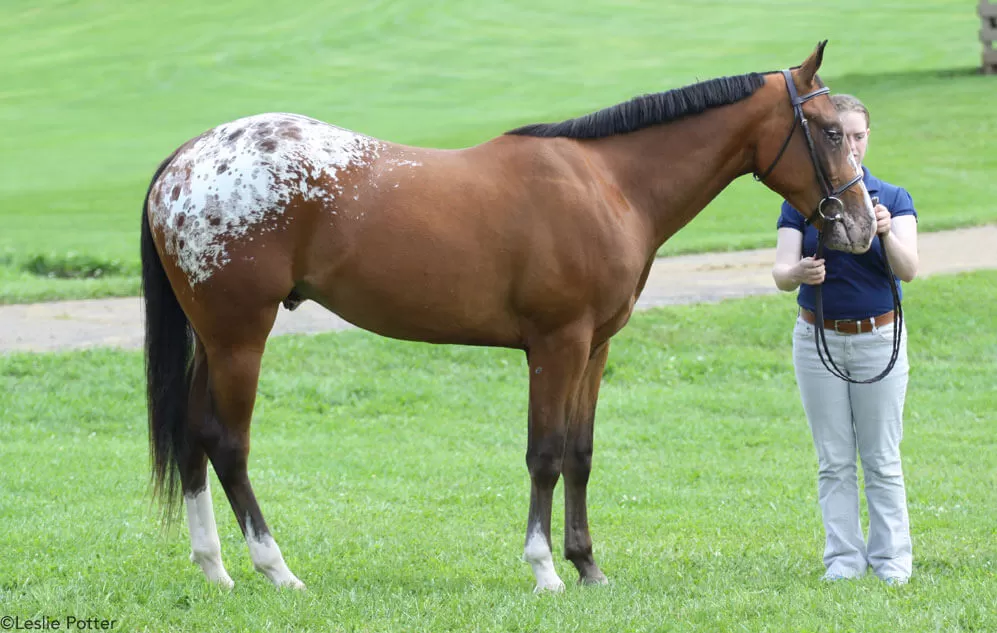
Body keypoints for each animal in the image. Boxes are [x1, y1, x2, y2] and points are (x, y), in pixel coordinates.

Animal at [138, 42, 872, 592]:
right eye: (831, 131)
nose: (862, 226)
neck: (608, 184)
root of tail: (185, 160)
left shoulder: (594, 349)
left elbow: (579, 452)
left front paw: (587, 565)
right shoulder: (556, 344)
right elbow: (543, 453)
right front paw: (545, 568)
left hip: (213, 339)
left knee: (193, 437)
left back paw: (215, 568)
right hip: (241, 337)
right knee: (228, 443)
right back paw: (276, 568)